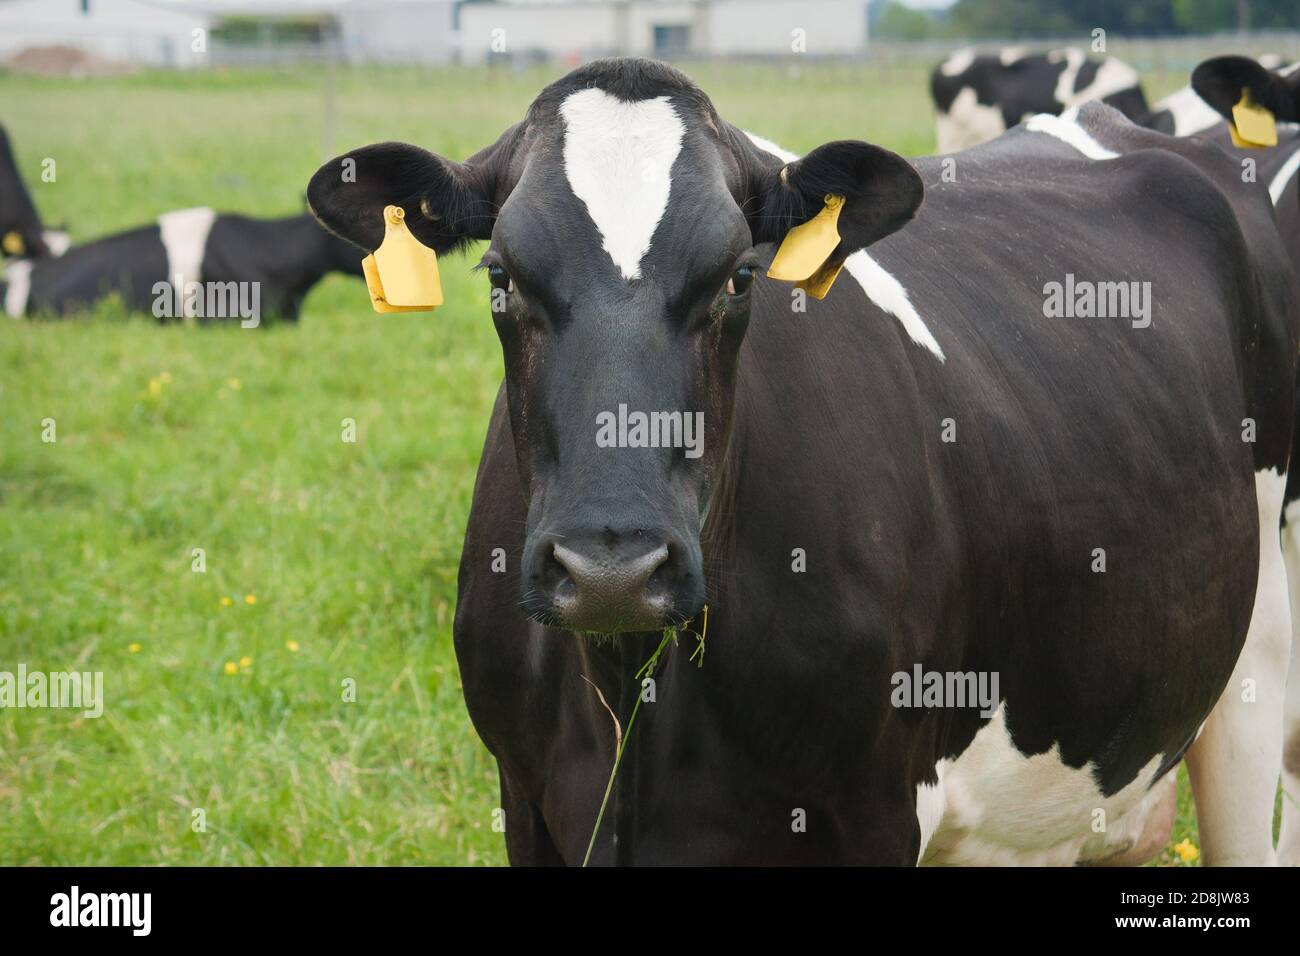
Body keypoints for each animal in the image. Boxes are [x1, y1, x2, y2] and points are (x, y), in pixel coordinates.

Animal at [308, 58, 1297, 865]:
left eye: (739, 277)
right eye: (500, 277)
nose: (609, 570)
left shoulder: (876, 807)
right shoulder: (527, 799)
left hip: (1256, 669)